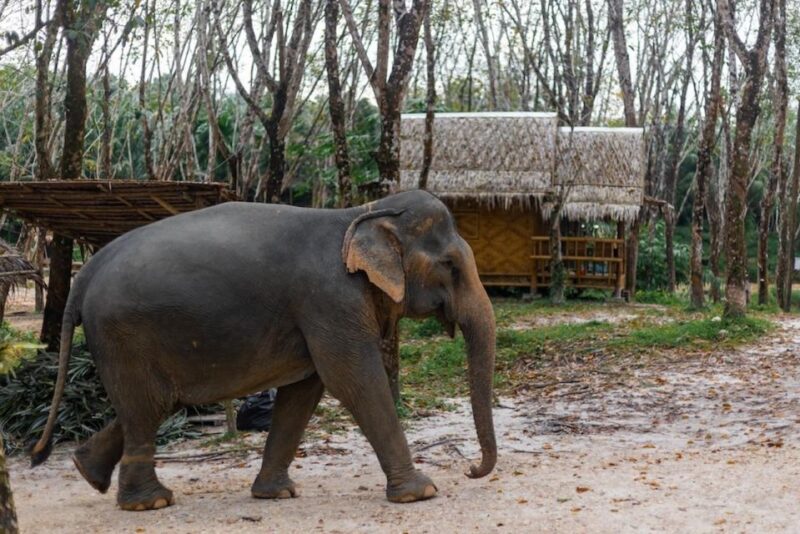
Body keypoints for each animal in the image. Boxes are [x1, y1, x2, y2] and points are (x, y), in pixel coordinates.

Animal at [30, 190, 497, 511]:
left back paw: (87, 471)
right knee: (147, 407)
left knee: (149, 405)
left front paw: (277, 494)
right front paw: (423, 491)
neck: (362, 212)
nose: (470, 469)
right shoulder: (330, 299)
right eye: (450, 265)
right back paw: (152, 502)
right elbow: (352, 378)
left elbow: (305, 390)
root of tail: (86, 272)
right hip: (124, 333)